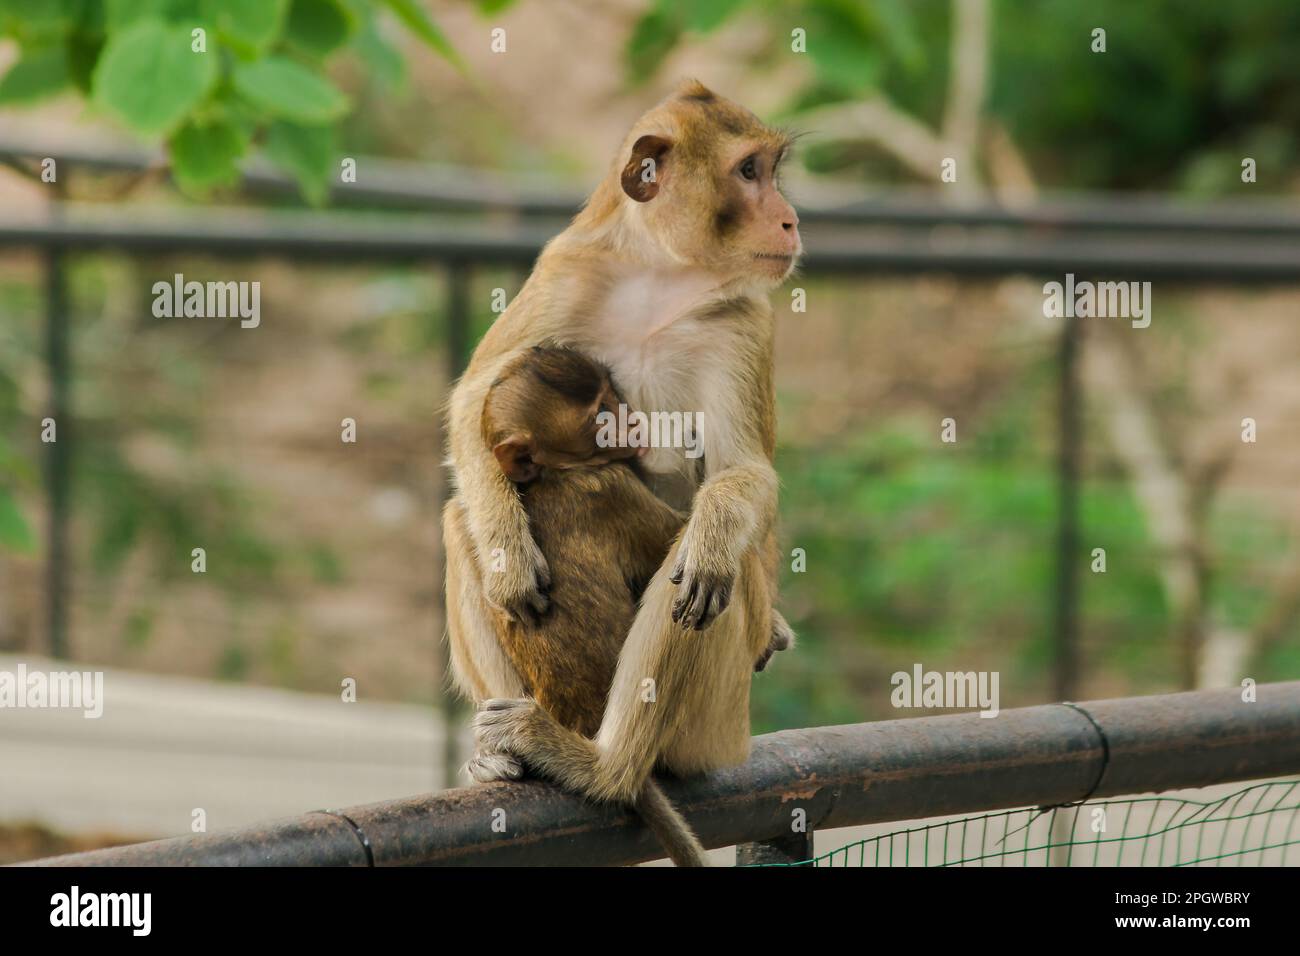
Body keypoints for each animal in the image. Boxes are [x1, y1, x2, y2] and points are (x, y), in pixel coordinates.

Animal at [474, 344, 711, 865]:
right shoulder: (611, 488)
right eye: (601, 416)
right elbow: (673, 549)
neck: (550, 475)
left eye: (614, 397)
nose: (633, 424)